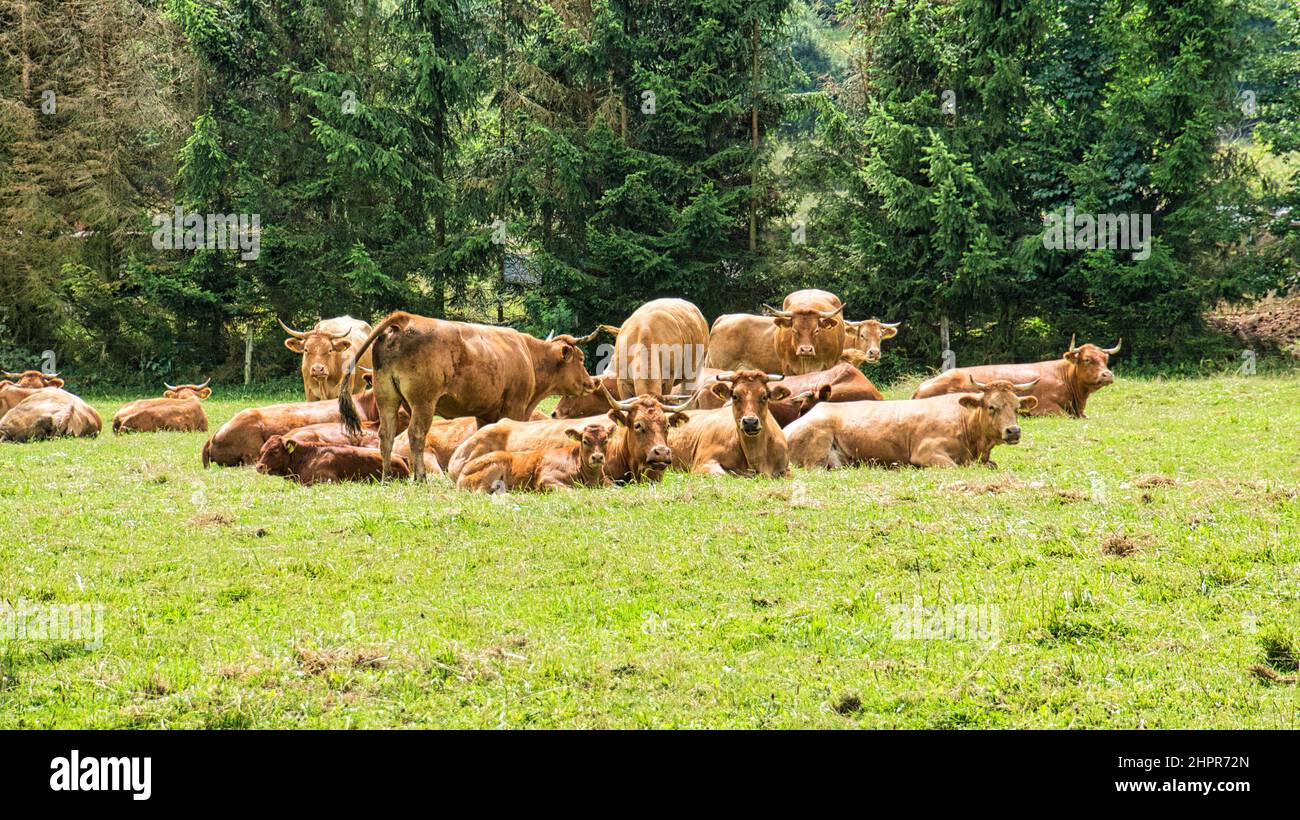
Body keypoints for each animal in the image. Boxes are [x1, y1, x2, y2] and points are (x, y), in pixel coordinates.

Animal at [338, 312, 601, 481]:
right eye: (580, 359)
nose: (592, 382)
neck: (527, 353)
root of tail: (405, 319)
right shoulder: (515, 406)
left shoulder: (485, 413)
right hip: (423, 403)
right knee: (416, 435)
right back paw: (420, 477)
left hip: (387, 398)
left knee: (386, 435)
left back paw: (386, 476)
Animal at [456, 424, 612, 493]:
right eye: (585, 441)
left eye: (605, 440)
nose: (597, 457)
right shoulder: (546, 479)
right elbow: (572, 491)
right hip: (493, 467)